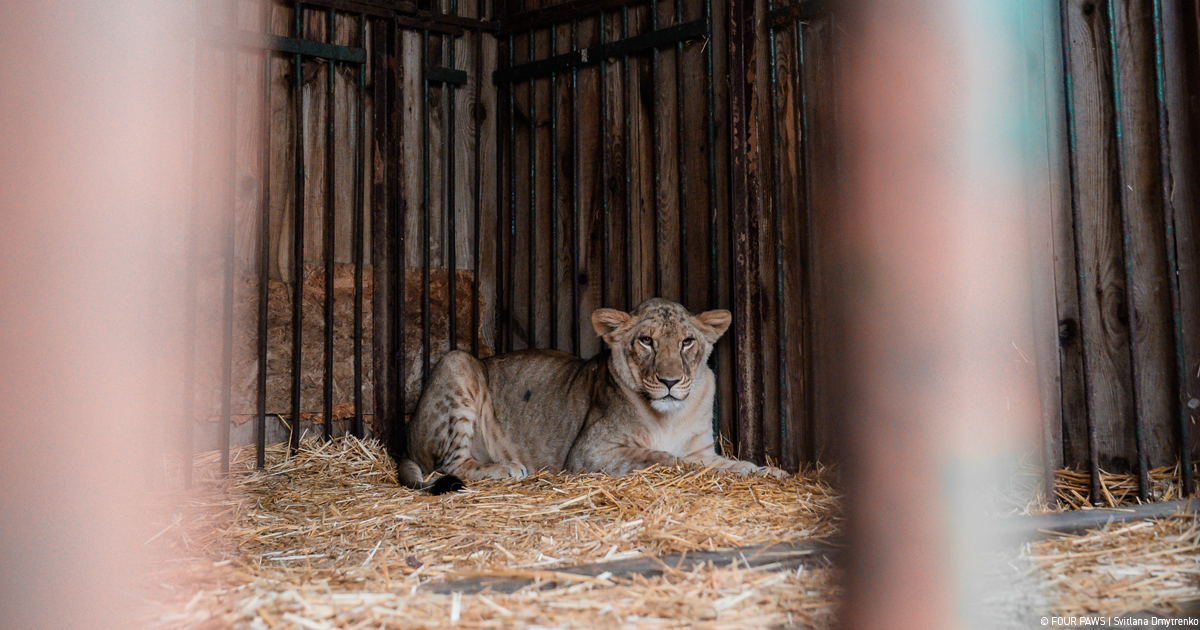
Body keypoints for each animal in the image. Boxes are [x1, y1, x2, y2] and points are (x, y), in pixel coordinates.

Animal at [396, 298, 787, 493]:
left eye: (687, 341)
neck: (671, 416)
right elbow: (664, 457)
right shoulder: (588, 454)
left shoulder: (702, 448)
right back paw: (506, 468)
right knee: (451, 465)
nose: (670, 381)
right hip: (457, 362)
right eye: (646, 341)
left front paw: (767, 471)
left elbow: (728, 464)